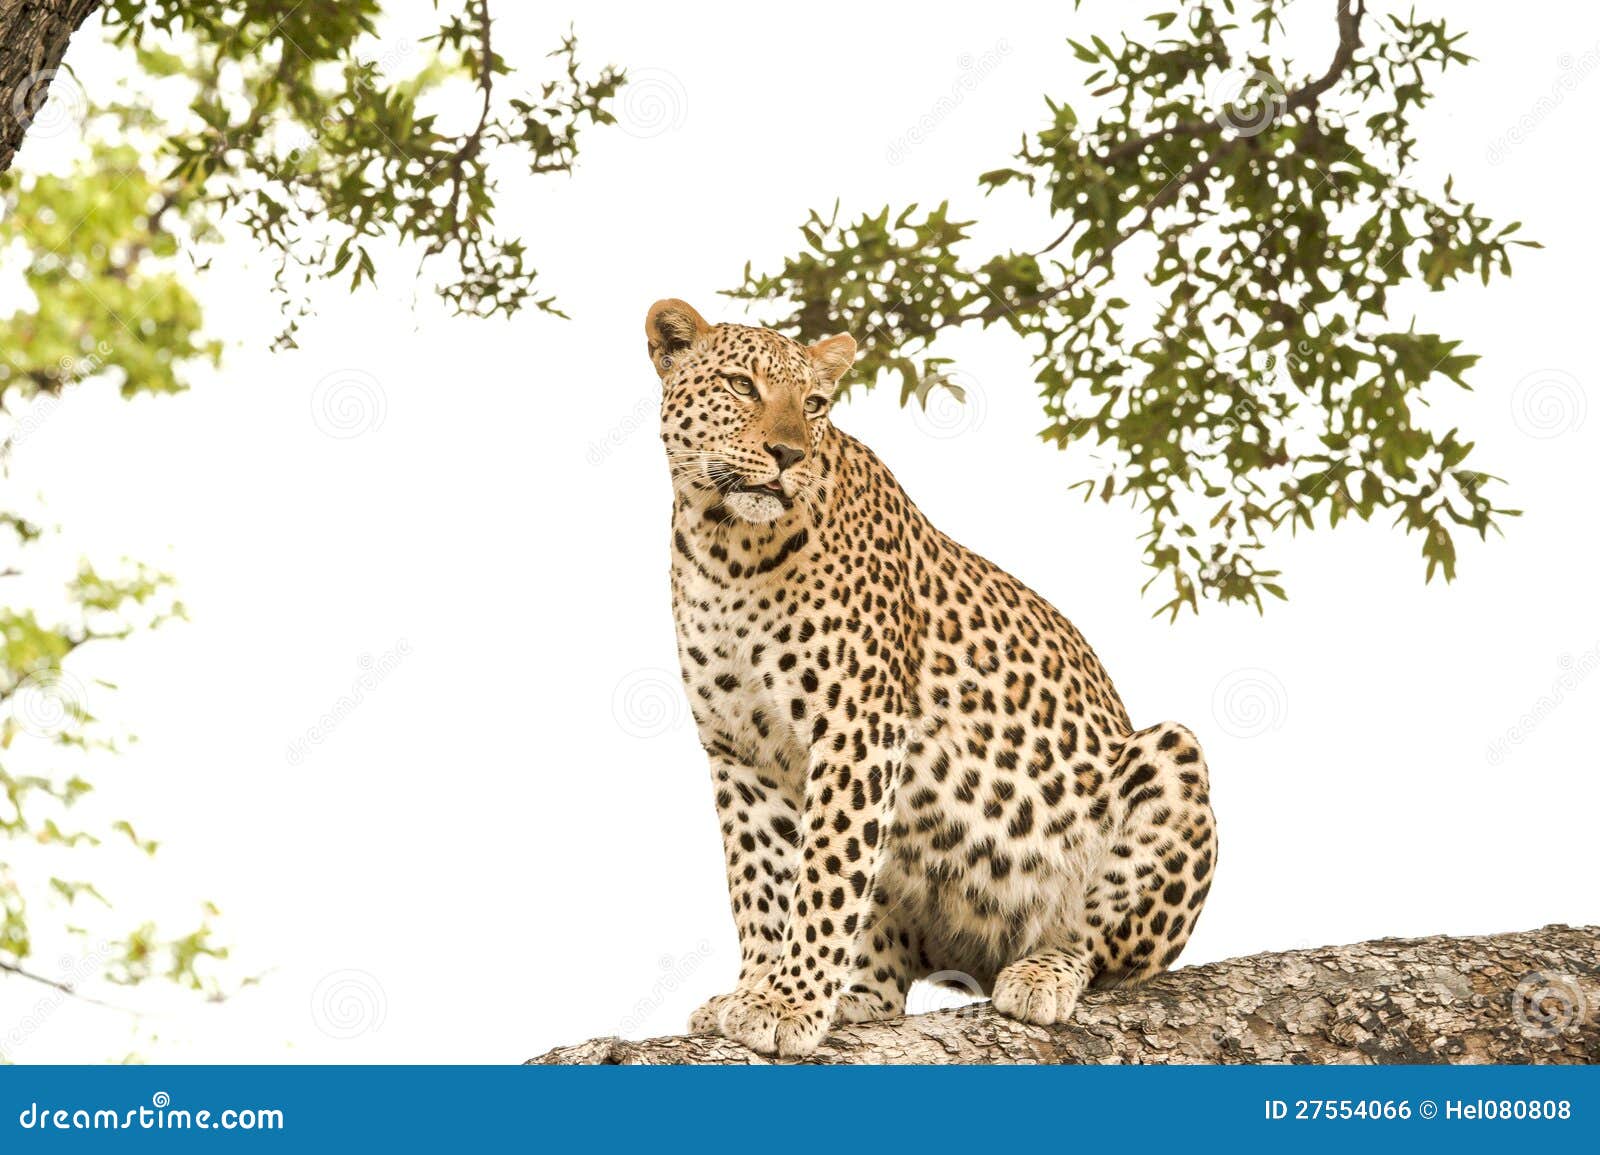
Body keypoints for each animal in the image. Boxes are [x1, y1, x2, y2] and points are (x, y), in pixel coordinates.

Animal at [647, 298, 1217, 1058]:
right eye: (742, 386)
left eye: (814, 404)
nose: (788, 455)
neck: (727, 546)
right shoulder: (739, 748)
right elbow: (761, 882)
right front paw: (759, 989)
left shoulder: (856, 726)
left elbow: (825, 873)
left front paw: (788, 1000)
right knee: (887, 977)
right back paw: (855, 998)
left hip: (1170, 758)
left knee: (1102, 946)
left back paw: (1041, 971)